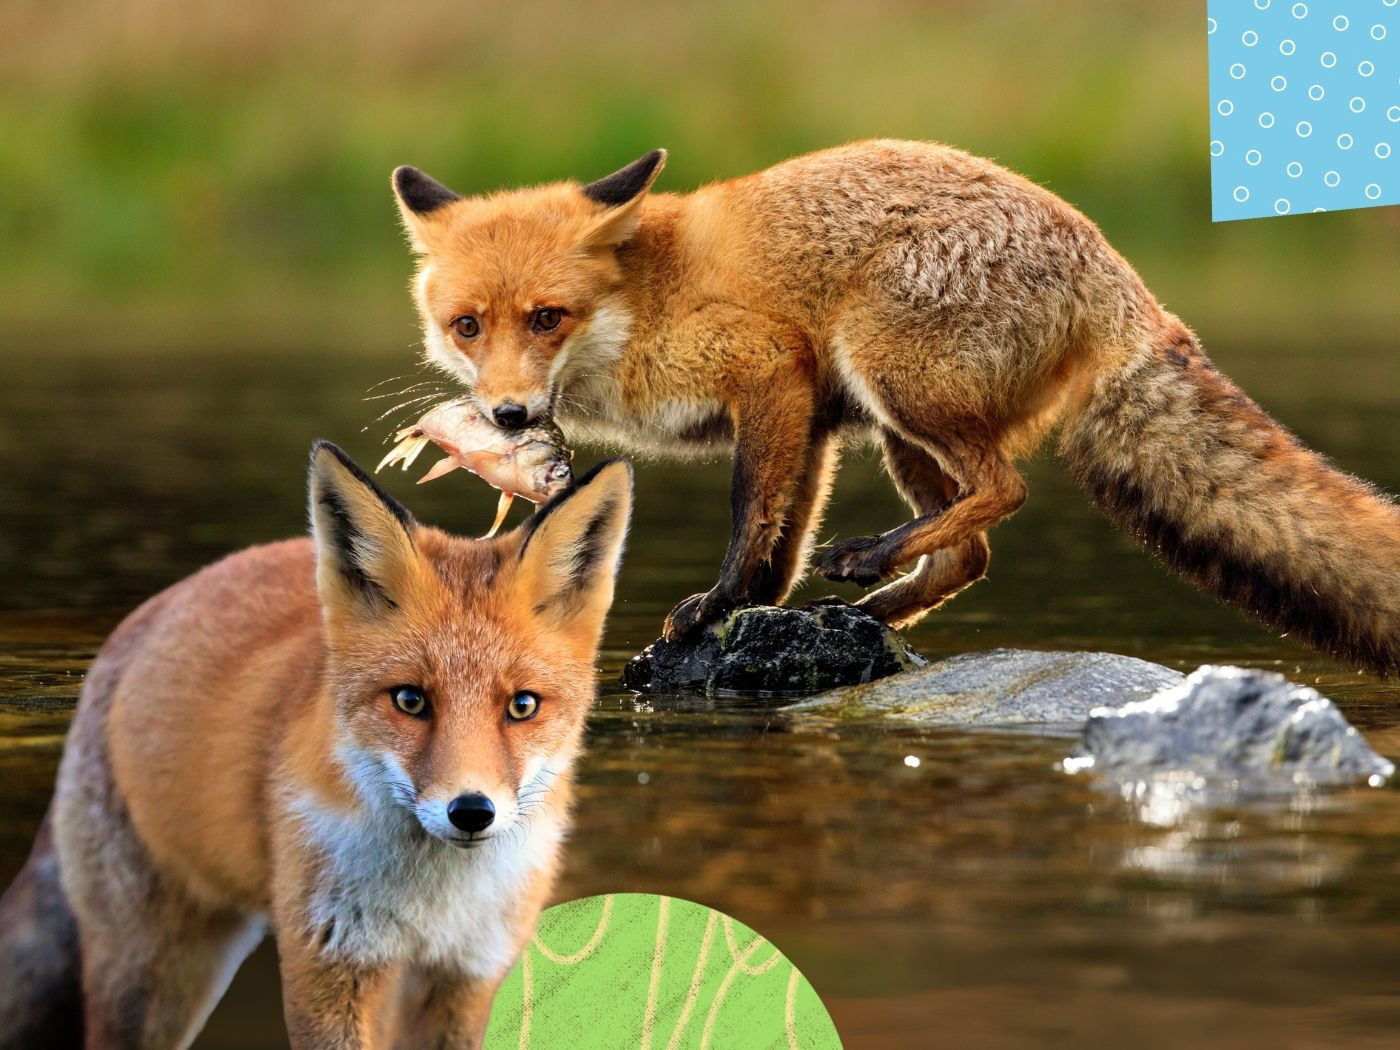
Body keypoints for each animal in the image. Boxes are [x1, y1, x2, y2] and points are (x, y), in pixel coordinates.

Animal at [0, 443, 633, 1050]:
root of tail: (133, 627)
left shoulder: (468, 973)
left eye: (522, 706)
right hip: (152, 983)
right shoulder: (331, 960)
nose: (472, 812)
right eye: (410, 700)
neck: (434, 903)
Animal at [388, 139, 1400, 674]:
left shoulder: (772, 372)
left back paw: (871, 560)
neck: (642, 303)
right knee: (972, 548)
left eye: (547, 318)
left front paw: (717, 603)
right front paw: (745, 611)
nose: (509, 417)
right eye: (468, 325)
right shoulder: (812, 416)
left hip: (893, 378)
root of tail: (1119, 274)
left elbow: (750, 514)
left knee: (1004, 493)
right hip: (894, 429)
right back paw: (881, 606)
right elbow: (780, 540)